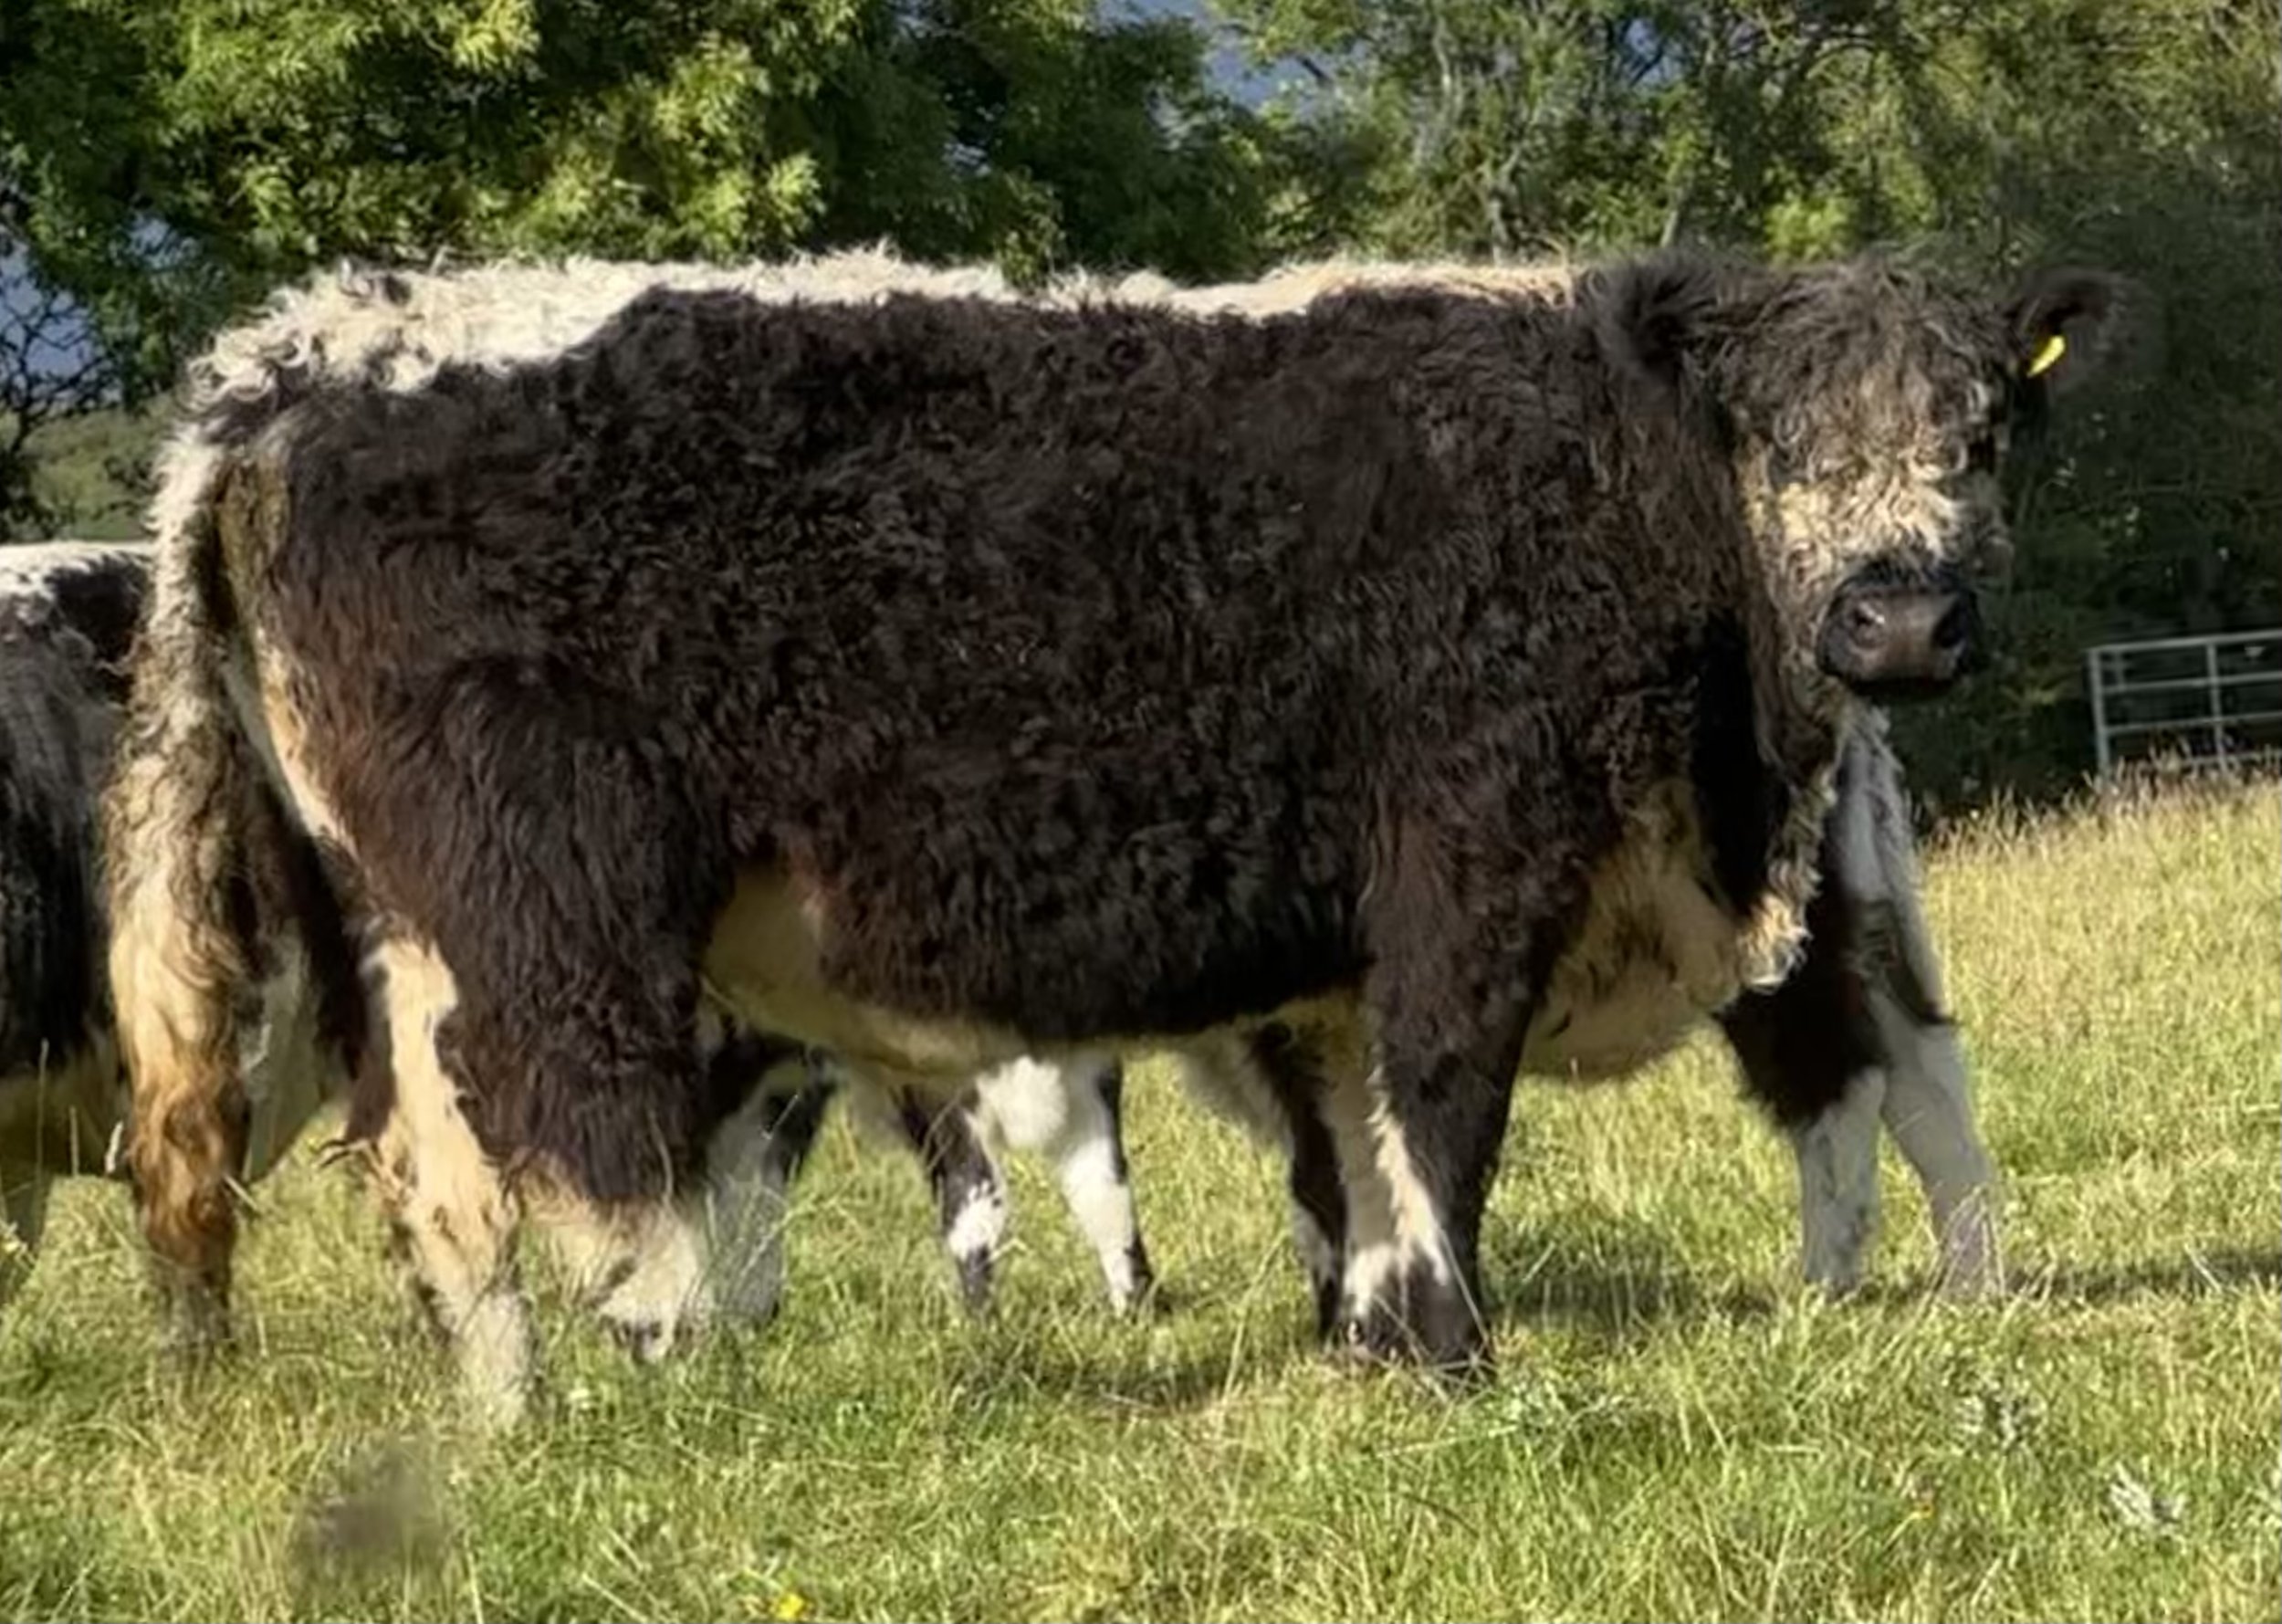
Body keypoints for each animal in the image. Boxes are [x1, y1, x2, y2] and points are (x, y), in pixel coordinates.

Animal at [107, 245, 2116, 1422]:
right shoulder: (1470, 854)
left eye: (1984, 431)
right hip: (537, 895)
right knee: (551, 1118)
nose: (1898, 619)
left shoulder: (1348, 931)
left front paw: (1380, 1331)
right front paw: (1456, 1352)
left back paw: (509, 1413)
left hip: (376, 921)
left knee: (425, 1165)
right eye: (1781, 432)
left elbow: (1358, 1137)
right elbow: (1442, 1103)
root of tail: (307, 353)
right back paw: (656, 1366)